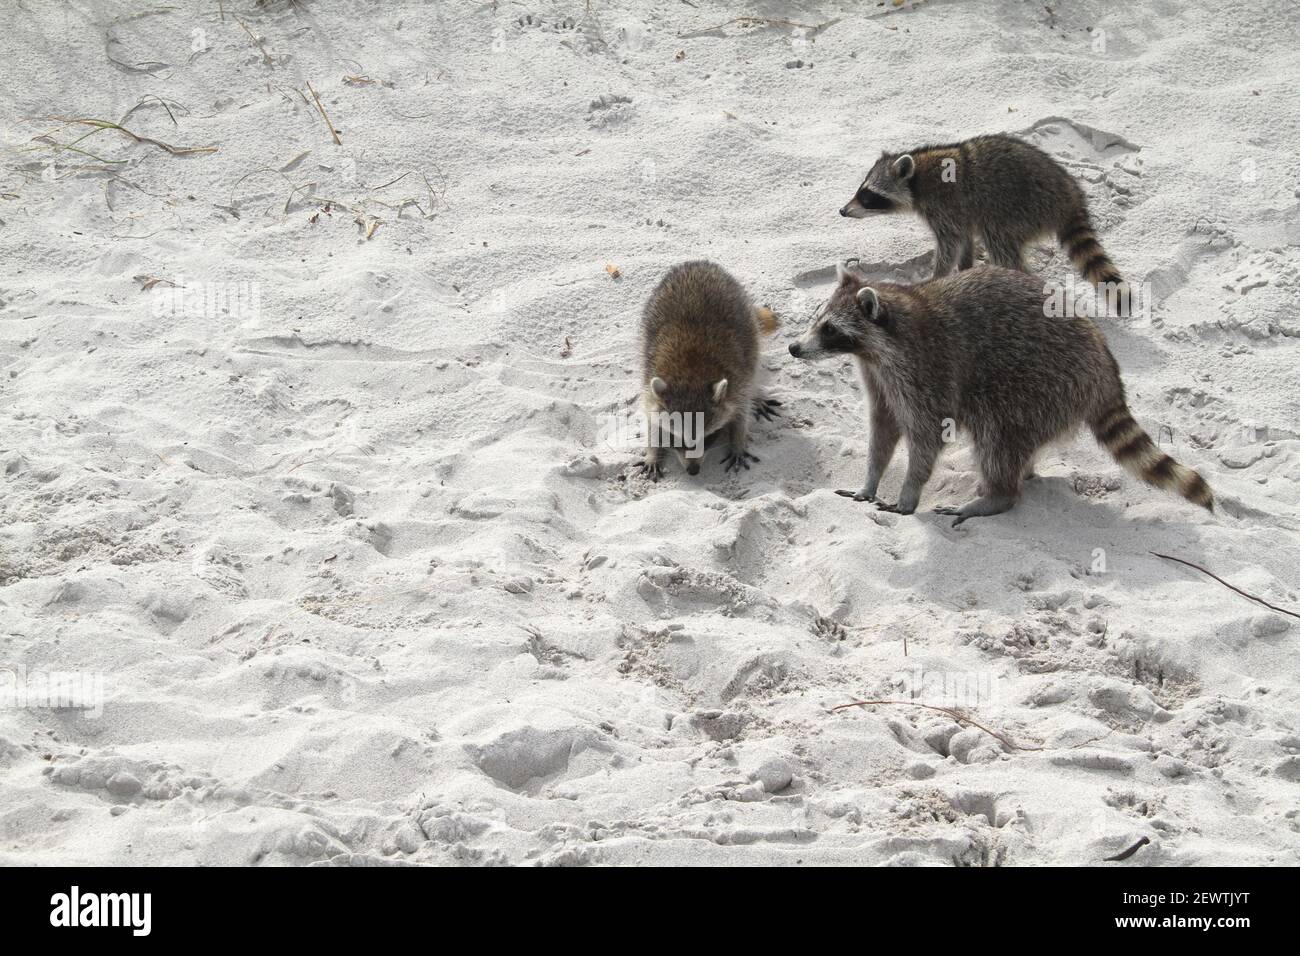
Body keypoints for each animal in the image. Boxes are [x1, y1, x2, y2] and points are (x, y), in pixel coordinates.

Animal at [637, 261, 779, 479]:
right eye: (676, 438)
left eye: (709, 438)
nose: (693, 471)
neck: (690, 376)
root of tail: (699, 263)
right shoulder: (649, 386)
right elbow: (651, 422)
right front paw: (653, 453)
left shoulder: (737, 384)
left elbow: (741, 414)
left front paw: (737, 443)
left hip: (748, 322)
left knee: (753, 361)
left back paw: (757, 393)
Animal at [788, 263, 1212, 524]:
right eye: (818, 319)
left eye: (830, 329)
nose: (794, 348)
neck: (875, 348)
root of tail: (1105, 364)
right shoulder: (879, 377)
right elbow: (882, 430)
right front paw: (870, 479)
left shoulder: (926, 371)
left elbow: (927, 436)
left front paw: (909, 492)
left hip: (1041, 383)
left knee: (998, 433)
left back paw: (998, 494)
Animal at [841, 133, 1126, 301]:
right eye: (861, 190)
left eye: (868, 196)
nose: (843, 211)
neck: (918, 178)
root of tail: (1069, 194)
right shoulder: (959, 213)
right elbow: (965, 239)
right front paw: (965, 267)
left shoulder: (943, 207)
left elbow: (949, 246)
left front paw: (936, 276)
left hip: (1018, 208)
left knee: (999, 241)